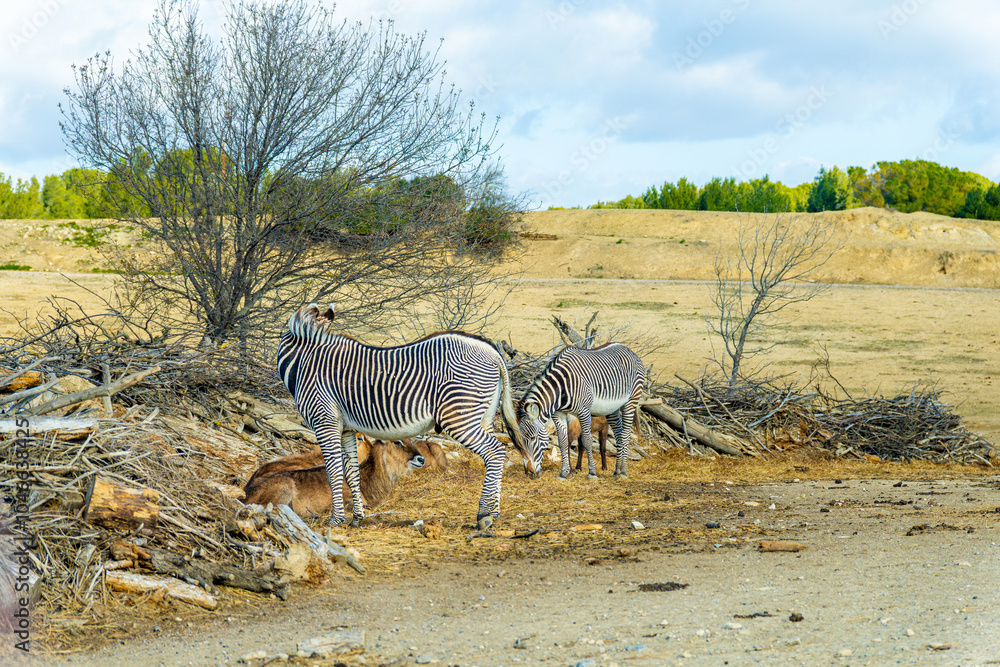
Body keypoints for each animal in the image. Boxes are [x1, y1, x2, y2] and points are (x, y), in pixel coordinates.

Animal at [276, 303, 540, 530]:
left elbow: (334, 472)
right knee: (497, 453)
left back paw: (483, 514)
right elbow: (351, 473)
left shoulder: (325, 422)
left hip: (459, 417)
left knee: (495, 451)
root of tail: (493, 352)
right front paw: (357, 518)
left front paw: (335, 520)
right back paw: (495, 512)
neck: (304, 362)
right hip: (483, 416)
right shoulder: (346, 428)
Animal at [518, 343, 645, 479]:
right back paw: (617, 471)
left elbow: (587, 441)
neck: (561, 389)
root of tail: (629, 350)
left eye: (532, 438)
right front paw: (564, 473)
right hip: (612, 408)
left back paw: (624, 471)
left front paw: (592, 472)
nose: (529, 472)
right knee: (618, 433)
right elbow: (563, 442)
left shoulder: (584, 411)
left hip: (632, 400)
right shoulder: (558, 413)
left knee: (625, 434)